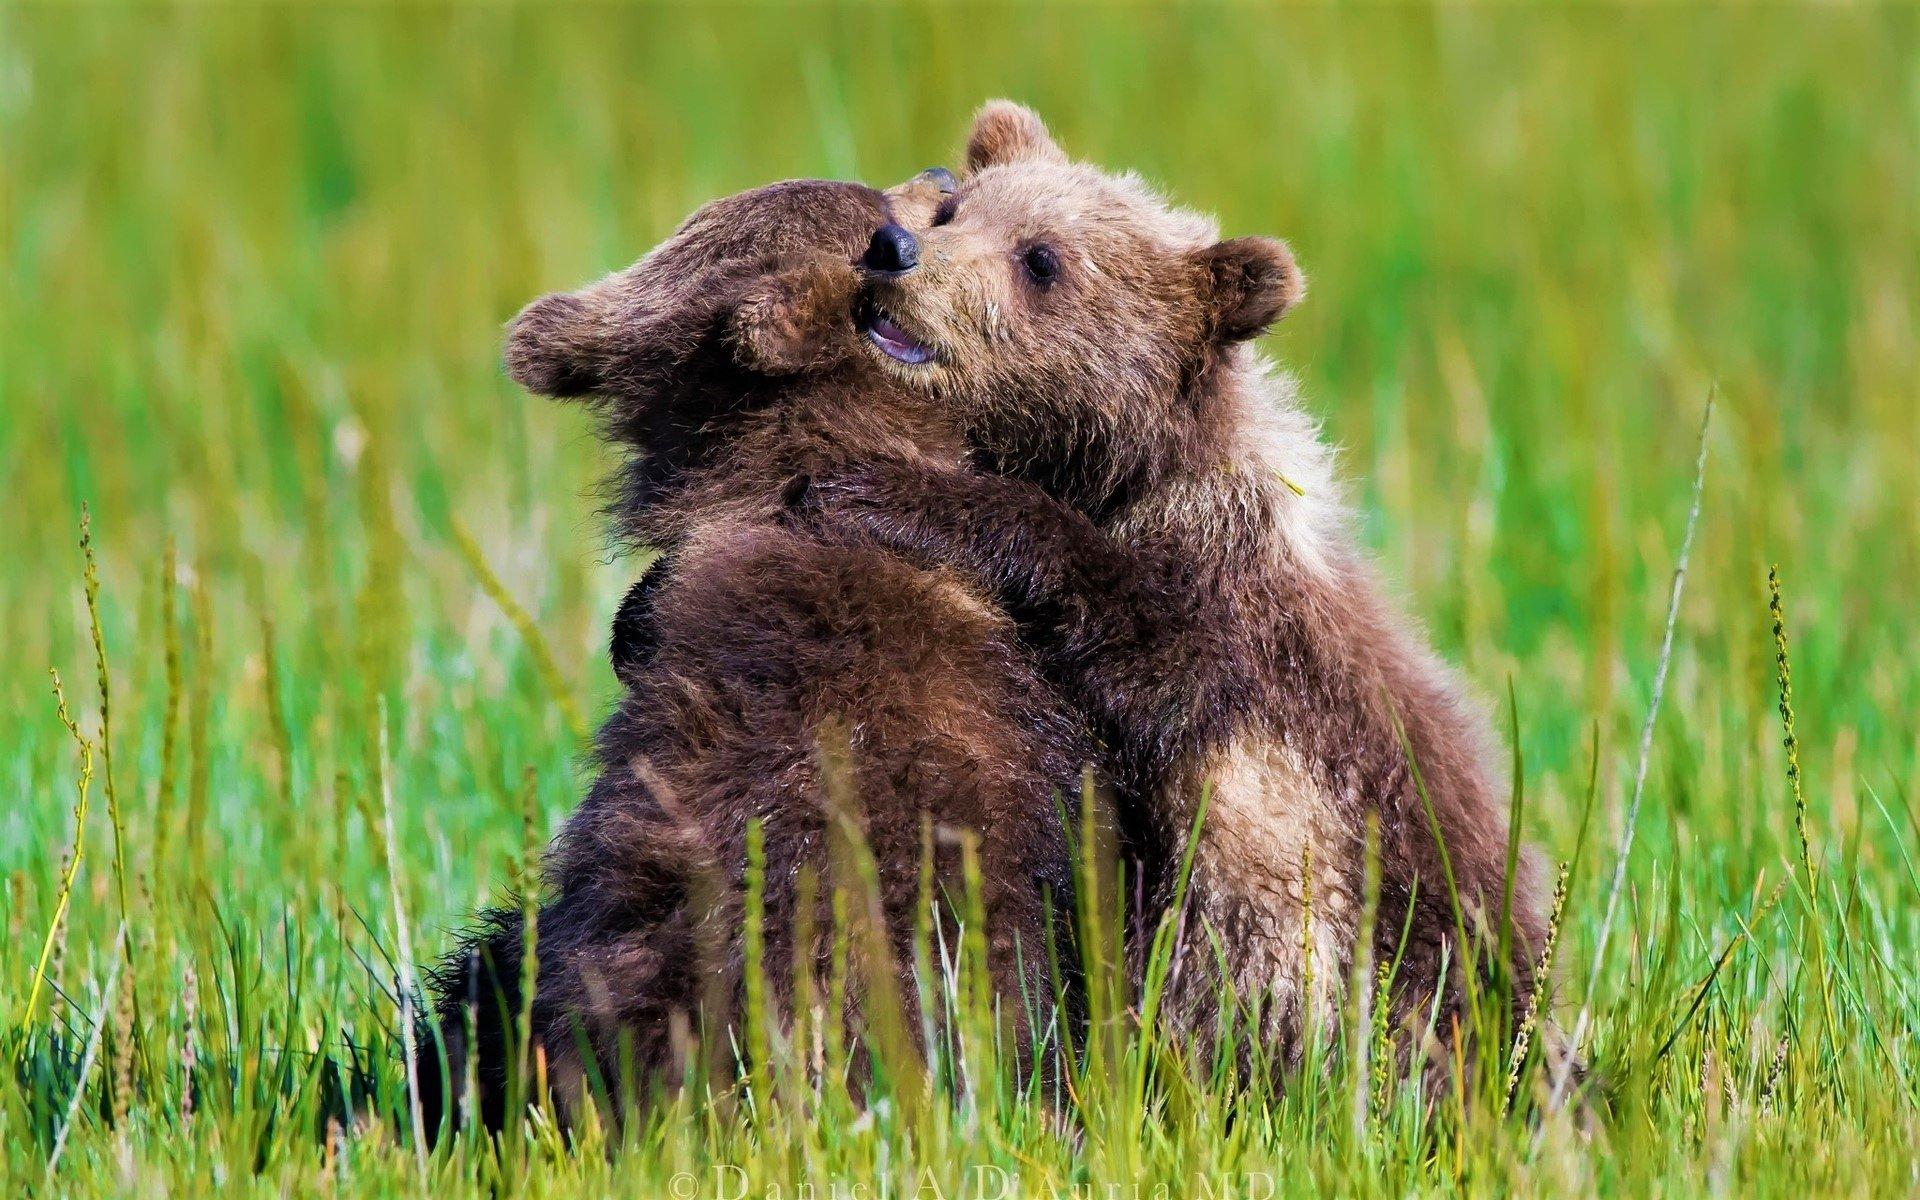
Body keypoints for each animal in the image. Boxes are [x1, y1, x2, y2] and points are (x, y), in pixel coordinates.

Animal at [797, 102, 1550, 1082]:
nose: (897, 251)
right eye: (957, 208)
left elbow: (1131, 633)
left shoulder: (1234, 638)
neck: (1125, 471)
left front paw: (876, 487)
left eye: (1042, 259)